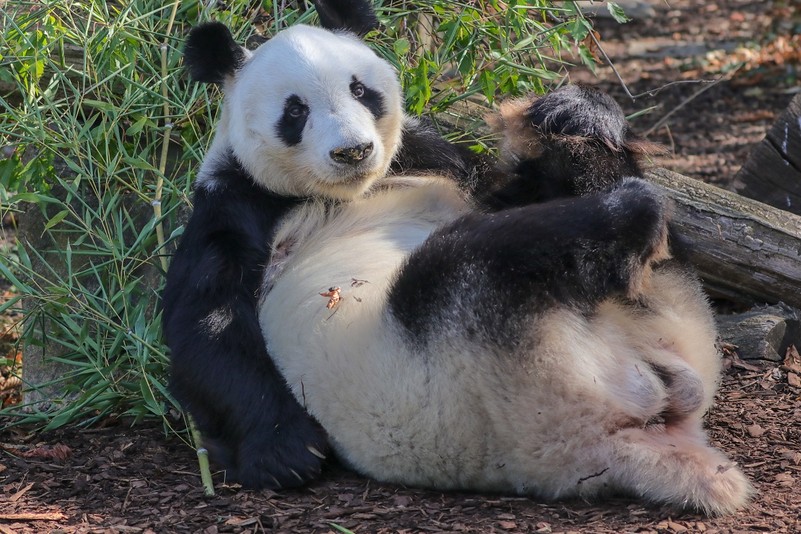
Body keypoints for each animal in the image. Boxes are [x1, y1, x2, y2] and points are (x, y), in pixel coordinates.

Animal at [163, 0, 752, 514]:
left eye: (361, 90)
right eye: (295, 110)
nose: (353, 151)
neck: (346, 191)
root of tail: (616, 441)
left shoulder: (431, 161)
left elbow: (509, 192)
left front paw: (577, 112)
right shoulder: (236, 204)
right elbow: (207, 328)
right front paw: (287, 453)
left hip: (668, 308)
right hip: (481, 360)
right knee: (492, 255)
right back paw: (628, 210)